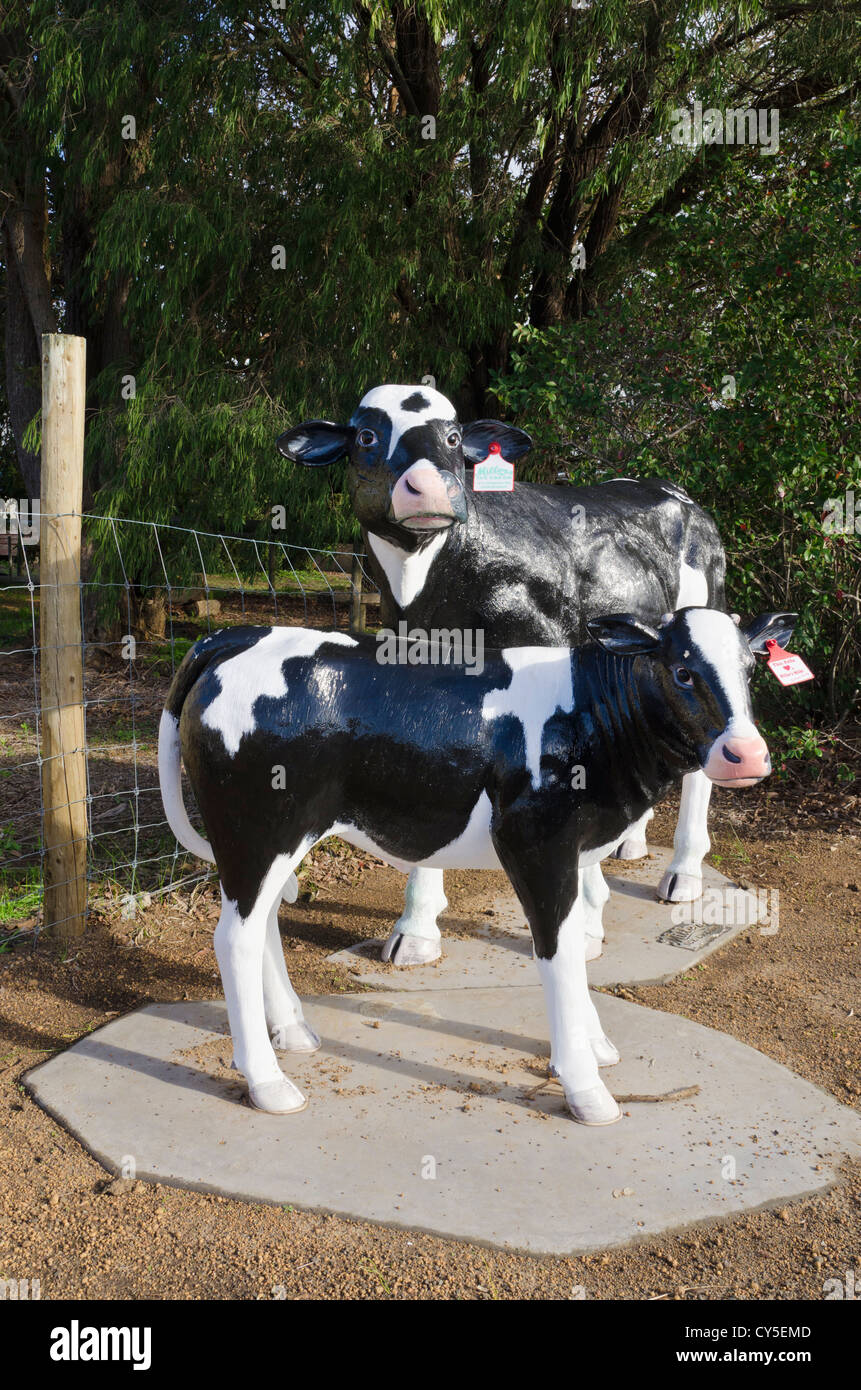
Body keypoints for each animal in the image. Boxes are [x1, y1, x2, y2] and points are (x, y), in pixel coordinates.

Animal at [158, 606, 793, 1125]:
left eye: (750, 668)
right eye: (683, 671)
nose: (747, 754)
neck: (587, 713)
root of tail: (236, 634)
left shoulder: (580, 849)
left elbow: (580, 940)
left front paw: (593, 1046)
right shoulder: (536, 843)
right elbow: (558, 954)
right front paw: (584, 1086)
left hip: (269, 840)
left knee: (259, 921)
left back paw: (293, 1031)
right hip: (259, 830)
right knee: (235, 938)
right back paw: (268, 1082)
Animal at [276, 385, 727, 964]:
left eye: (452, 437)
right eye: (367, 436)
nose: (430, 486)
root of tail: (675, 493)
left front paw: (584, 925)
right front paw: (416, 930)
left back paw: (683, 873)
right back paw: (631, 842)